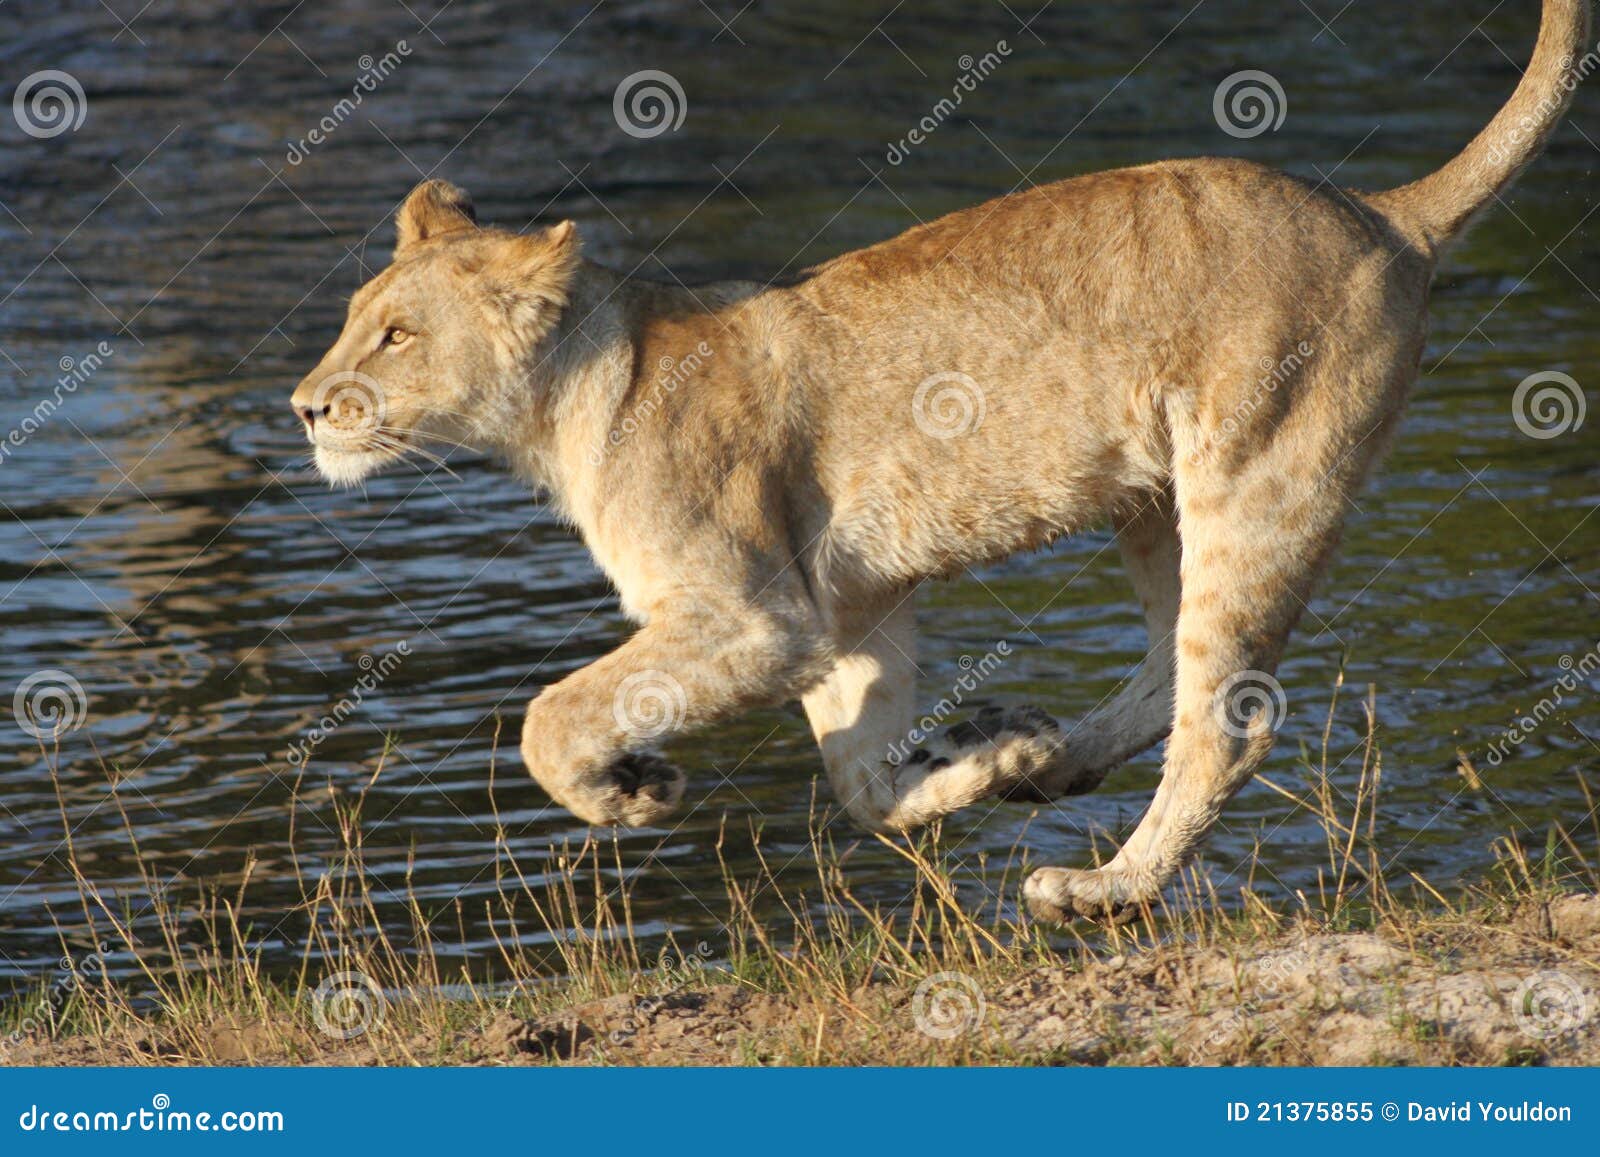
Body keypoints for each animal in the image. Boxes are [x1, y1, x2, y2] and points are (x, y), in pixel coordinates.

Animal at [291, 1, 1588, 921]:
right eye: (352, 316)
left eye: (396, 335)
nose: (304, 407)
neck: (565, 403)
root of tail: (1384, 209)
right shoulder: (849, 615)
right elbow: (862, 783)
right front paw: (980, 759)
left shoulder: (752, 616)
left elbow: (549, 715)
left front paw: (626, 790)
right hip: (1156, 502)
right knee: (1173, 672)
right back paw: (1044, 760)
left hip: (1256, 475)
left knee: (1228, 714)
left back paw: (1102, 889)